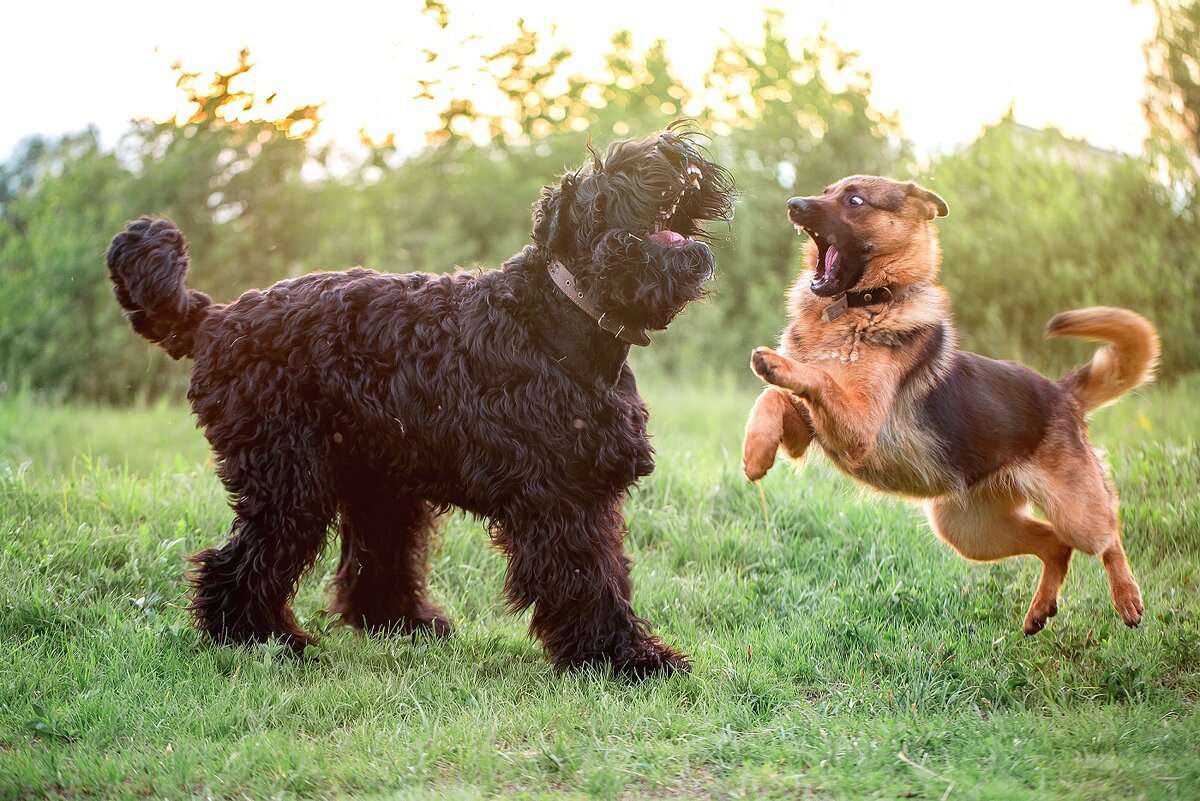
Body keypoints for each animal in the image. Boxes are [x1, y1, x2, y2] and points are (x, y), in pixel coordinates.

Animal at [108, 126, 734, 676]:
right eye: (610, 171)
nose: (671, 152)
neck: (562, 316)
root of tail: (214, 321)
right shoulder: (560, 496)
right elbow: (589, 579)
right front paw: (626, 660)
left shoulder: (589, 491)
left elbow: (609, 572)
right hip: (289, 485)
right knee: (240, 561)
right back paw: (261, 640)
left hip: (377, 483)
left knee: (372, 560)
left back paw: (403, 624)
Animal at [744, 176, 1156, 637]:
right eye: (827, 189)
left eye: (854, 200)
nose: (794, 203)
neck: (861, 305)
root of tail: (1062, 392)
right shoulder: (805, 431)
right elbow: (772, 397)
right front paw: (756, 451)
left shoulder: (859, 427)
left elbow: (818, 377)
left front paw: (778, 364)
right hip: (970, 532)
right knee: (1054, 544)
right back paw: (1040, 610)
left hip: (1074, 512)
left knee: (1108, 535)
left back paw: (1127, 598)